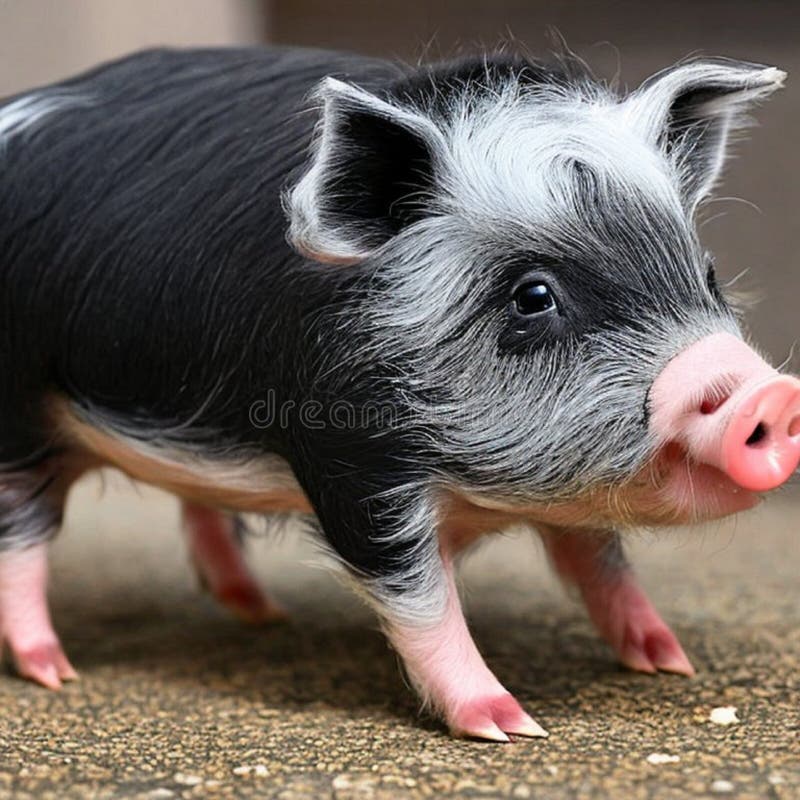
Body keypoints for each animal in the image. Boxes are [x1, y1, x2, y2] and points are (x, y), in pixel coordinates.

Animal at [0, 45, 796, 741]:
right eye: (533, 296)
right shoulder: (350, 463)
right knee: (24, 542)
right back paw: (53, 672)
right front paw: (508, 726)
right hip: (17, 419)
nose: (766, 396)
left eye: (707, 274)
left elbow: (597, 560)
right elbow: (420, 601)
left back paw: (259, 614)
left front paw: (668, 661)